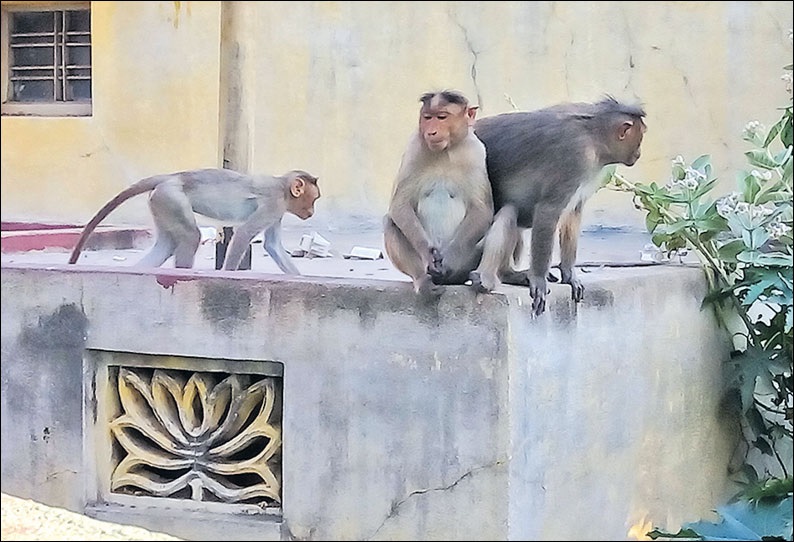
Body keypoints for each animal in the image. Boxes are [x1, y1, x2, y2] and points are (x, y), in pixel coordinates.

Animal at [68, 168, 320, 273]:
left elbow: (273, 245)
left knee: (167, 244)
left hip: (161, 202)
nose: (312, 211)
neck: (283, 188)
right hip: (172, 198)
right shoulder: (274, 205)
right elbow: (243, 234)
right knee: (191, 237)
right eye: (314, 199)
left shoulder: (278, 212)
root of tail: (171, 177)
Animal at [383, 90, 494, 297]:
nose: (431, 132)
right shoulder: (413, 148)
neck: (447, 150)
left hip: (464, 264)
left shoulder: (477, 152)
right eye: (427, 117)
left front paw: (448, 258)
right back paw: (424, 280)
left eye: (442, 117)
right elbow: (400, 205)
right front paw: (428, 255)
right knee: (391, 222)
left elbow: (482, 210)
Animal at [469, 96, 647, 316]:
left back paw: (507, 273)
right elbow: (549, 210)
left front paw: (569, 274)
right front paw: (538, 279)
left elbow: (573, 213)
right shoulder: (576, 157)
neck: (594, 134)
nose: (638, 153)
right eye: (640, 136)